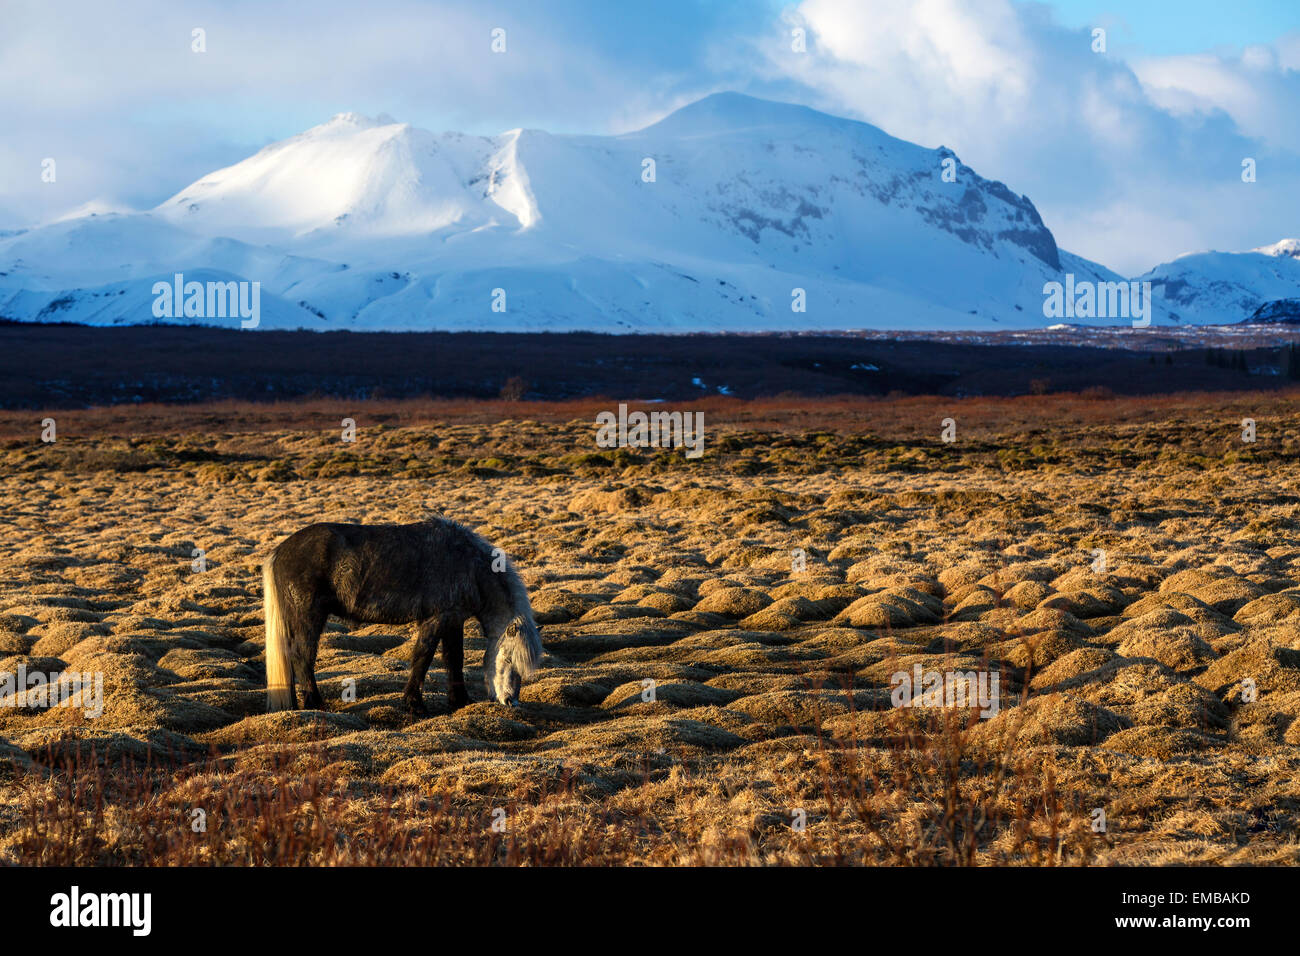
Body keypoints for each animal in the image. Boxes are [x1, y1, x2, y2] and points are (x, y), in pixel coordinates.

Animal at [261, 517, 542, 714]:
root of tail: (280, 551)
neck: (468, 565)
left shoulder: (453, 620)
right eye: (508, 658)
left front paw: (460, 701)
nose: (511, 701)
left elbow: (454, 659)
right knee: (302, 656)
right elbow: (423, 658)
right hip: (309, 617)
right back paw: (315, 703)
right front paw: (414, 705)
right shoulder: (435, 619)